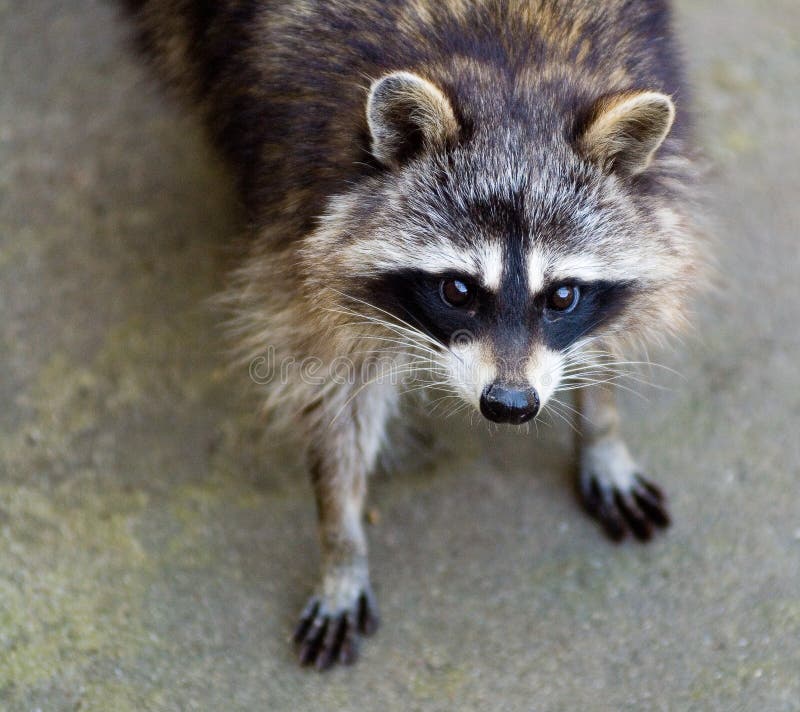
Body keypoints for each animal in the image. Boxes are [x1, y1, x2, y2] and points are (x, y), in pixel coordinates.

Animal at [124, 0, 705, 670]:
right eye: (457, 290)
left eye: (562, 296)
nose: (509, 405)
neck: (511, 70)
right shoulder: (301, 211)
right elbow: (333, 388)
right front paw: (341, 535)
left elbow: (606, 328)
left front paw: (603, 426)